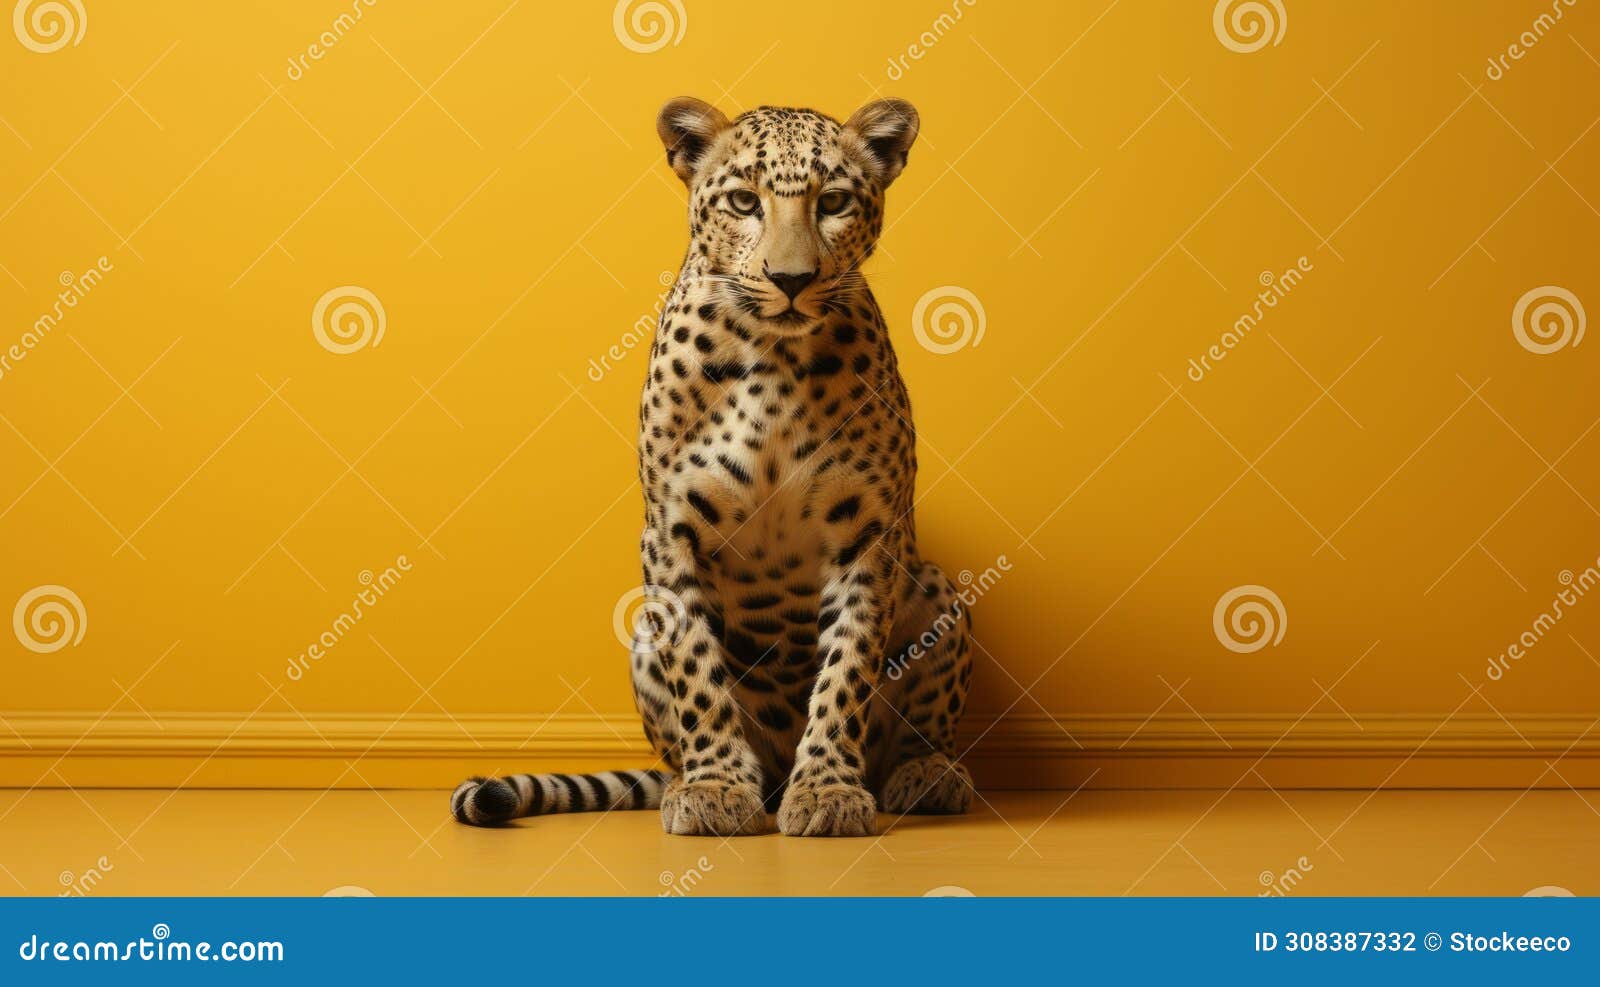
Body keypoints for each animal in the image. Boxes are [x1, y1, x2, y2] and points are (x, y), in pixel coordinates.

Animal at [452, 97, 974, 837]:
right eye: (743, 201)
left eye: (834, 201)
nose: (792, 280)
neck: (776, 362)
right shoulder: (672, 532)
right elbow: (696, 670)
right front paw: (715, 788)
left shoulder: (869, 535)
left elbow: (847, 671)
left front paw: (829, 791)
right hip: (641, 632)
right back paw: (701, 782)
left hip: (936, 591)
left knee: (921, 731)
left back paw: (926, 775)